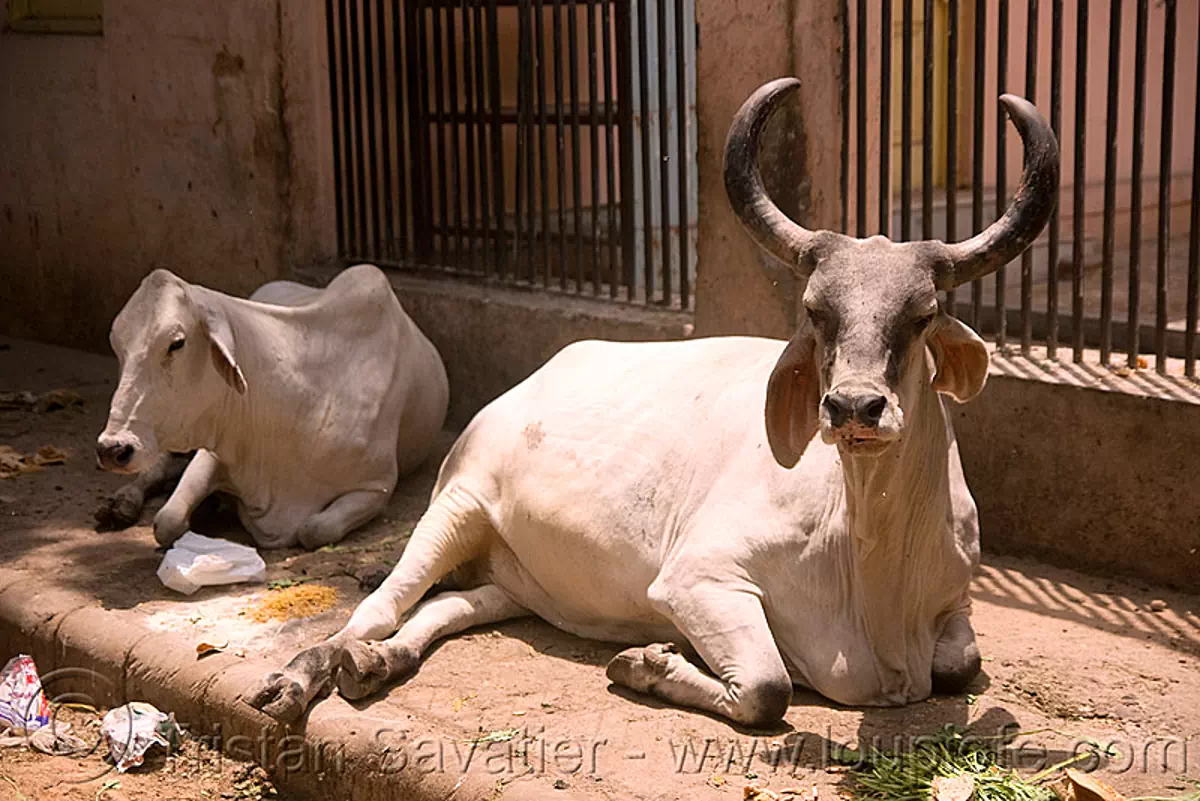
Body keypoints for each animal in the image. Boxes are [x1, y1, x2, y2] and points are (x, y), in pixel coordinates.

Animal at [95, 264, 449, 551]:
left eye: (177, 343)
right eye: (117, 345)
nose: (113, 449)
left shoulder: (377, 484)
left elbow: (313, 529)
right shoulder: (216, 448)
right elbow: (167, 522)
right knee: (156, 468)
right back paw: (122, 503)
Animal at [247, 80, 1058, 726]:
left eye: (922, 313)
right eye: (816, 310)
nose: (854, 408)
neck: (875, 581)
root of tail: (529, 379)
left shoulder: (957, 606)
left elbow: (960, 666)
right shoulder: (699, 577)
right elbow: (767, 688)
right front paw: (648, 662)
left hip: (514, 577)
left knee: (448, 608)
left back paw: (379, 663)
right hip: (457, 504)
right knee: (378, 606)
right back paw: (306, 676)